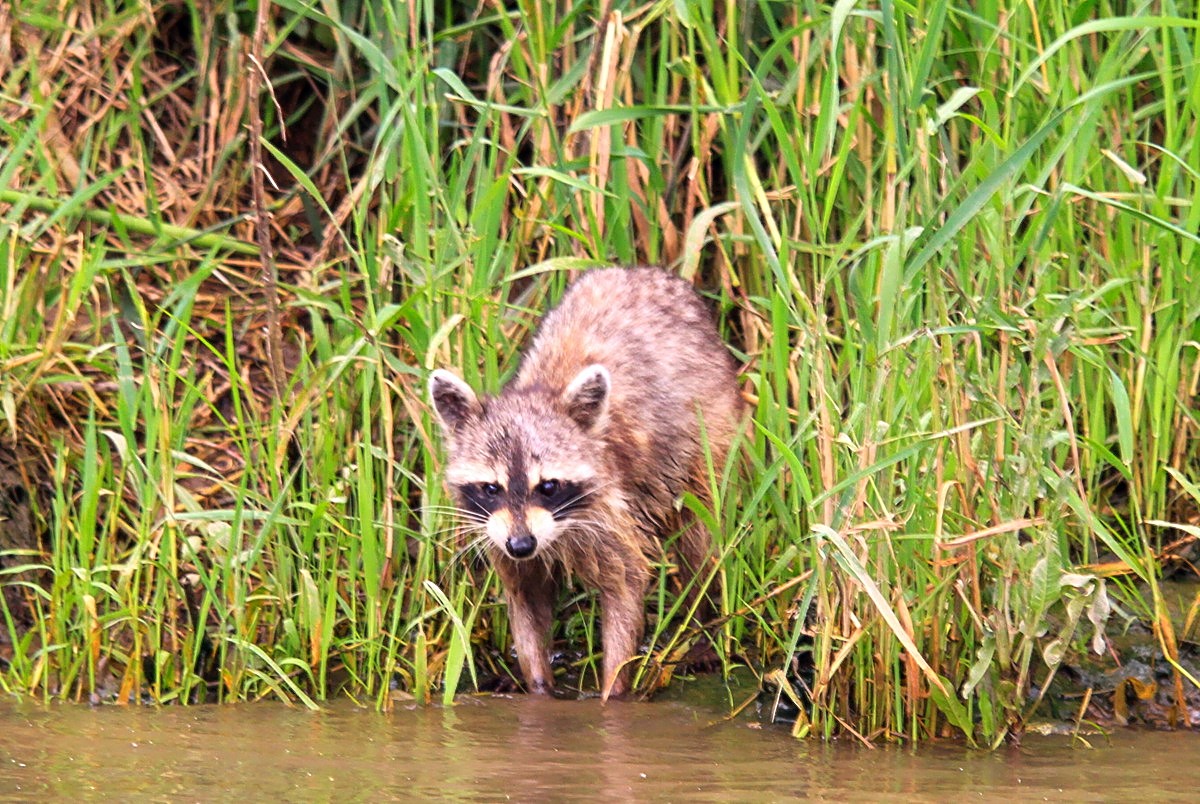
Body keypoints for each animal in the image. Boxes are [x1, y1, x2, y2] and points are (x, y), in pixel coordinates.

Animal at [428, 267, 744, 698]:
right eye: (491, 488)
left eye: (547, 486)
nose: (522, 545)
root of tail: (638, 271)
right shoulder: (497, 532)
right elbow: (526, 600)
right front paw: (539, 688)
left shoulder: (610, 512)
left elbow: (626, 586)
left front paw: (613, 690)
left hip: (710, 435)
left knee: (702, 540)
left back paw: (705, 624)